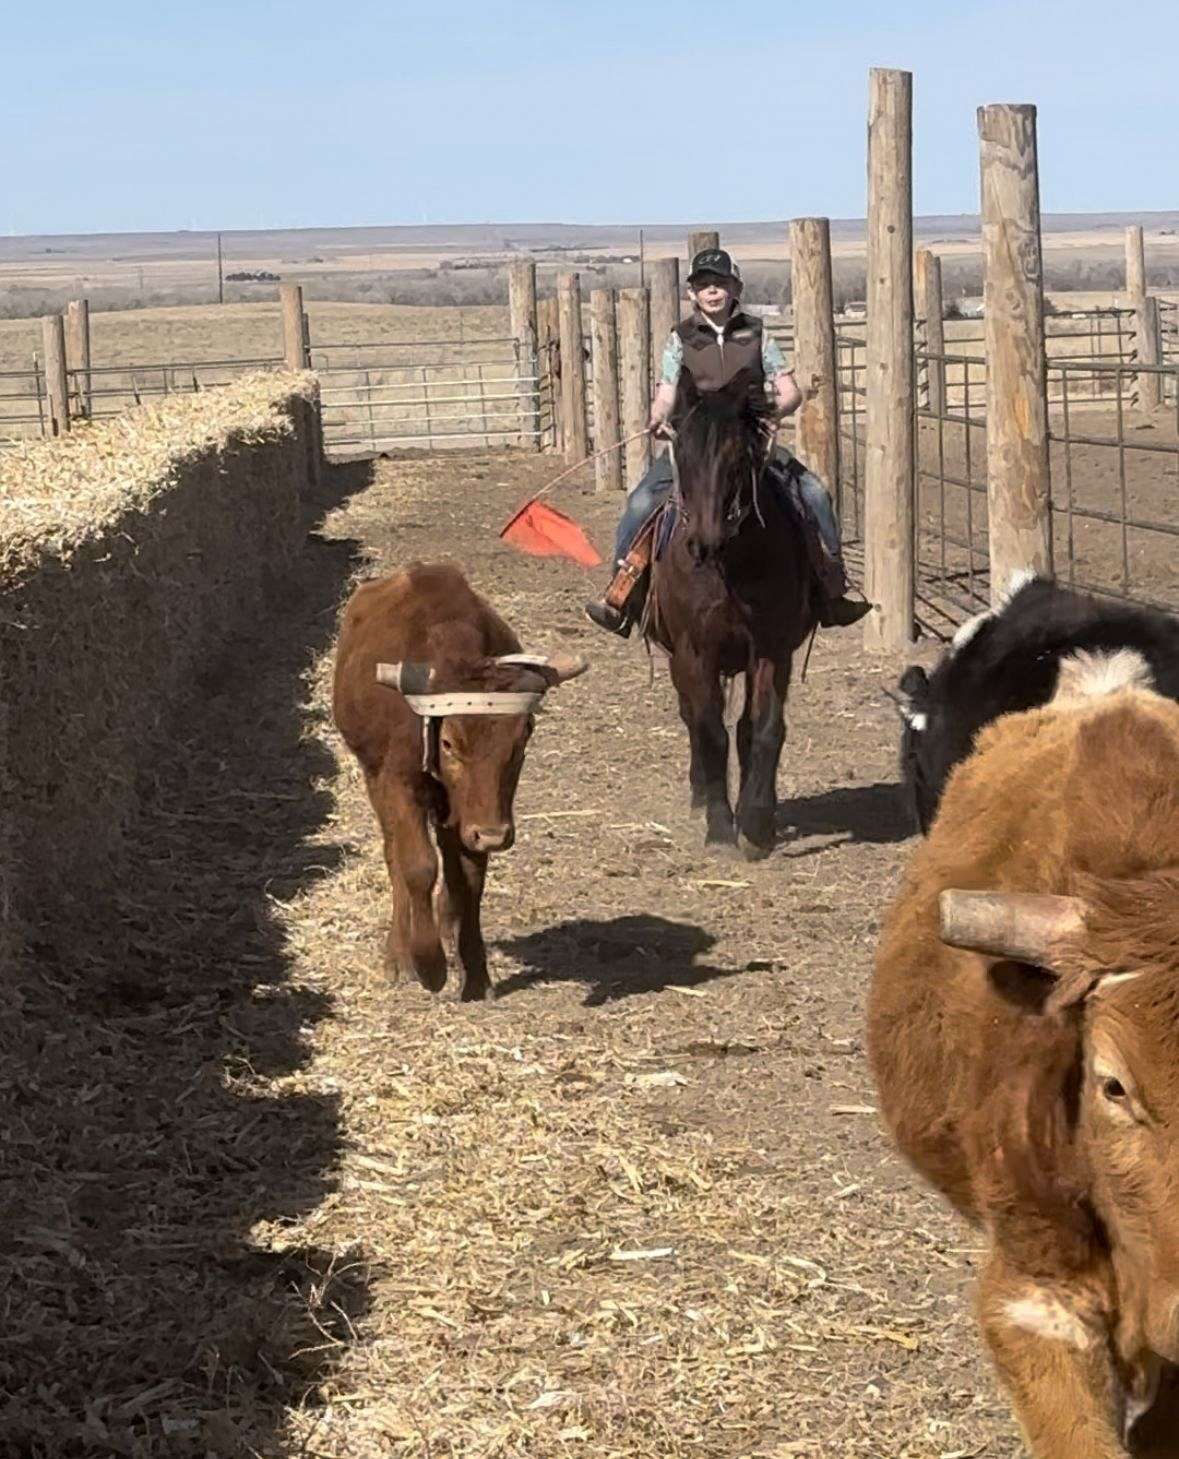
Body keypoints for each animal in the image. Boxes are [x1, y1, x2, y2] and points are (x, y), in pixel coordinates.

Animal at [646, 369, 818, 859]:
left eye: (737, 456)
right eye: (682, 451)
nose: (703, 544)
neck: (732, 567)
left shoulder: (772, 650)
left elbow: (763, 729)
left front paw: (756, 823)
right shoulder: (695, 654)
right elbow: (710, 732)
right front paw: (720, 826)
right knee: (693, 718)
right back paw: (700, 794)